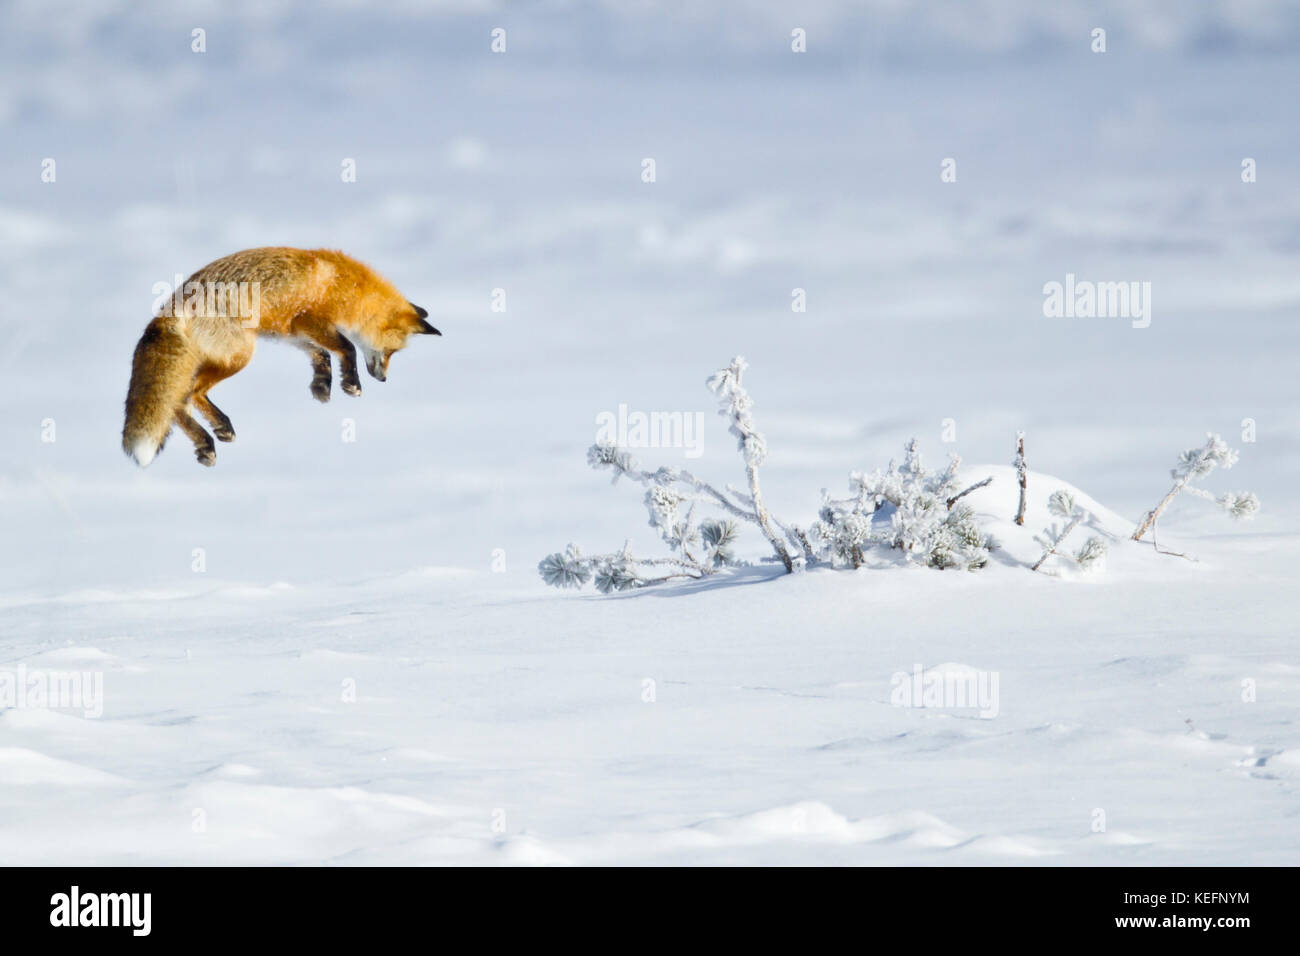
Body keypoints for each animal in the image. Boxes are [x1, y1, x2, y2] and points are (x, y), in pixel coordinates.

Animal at [122, 247, 439, 467]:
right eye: (391, 352)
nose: (383, 379)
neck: (349, 288)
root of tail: (171, 306)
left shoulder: (288, 330)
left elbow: (320, 352)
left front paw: (322, 385)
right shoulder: (307, 318)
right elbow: (346, 346)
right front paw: (351, 383)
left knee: (179, 403)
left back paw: (207, 442)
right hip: (240, 354)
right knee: (191, 394)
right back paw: (217, 430)